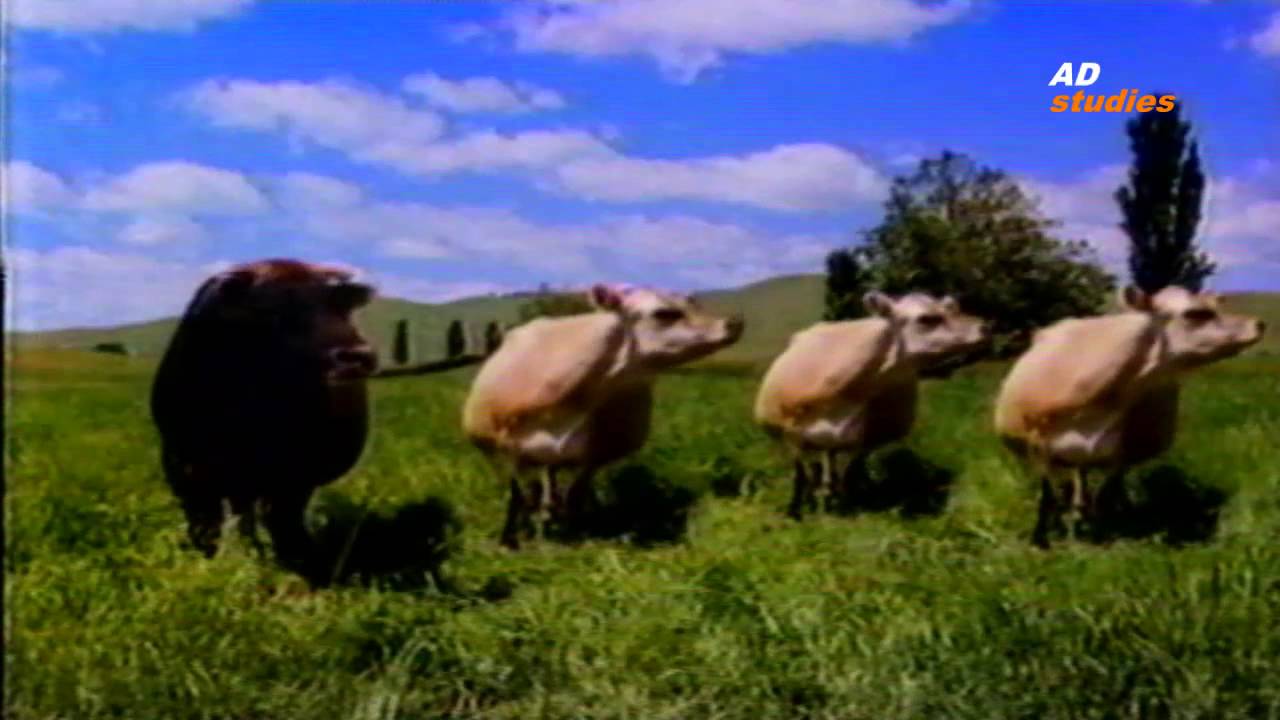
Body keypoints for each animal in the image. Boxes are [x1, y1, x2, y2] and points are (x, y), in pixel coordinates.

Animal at [150, 259, 379, 570]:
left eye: (342, 307)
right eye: (272, 312)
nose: (357, 356)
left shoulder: (295, 474)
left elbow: (283, 520)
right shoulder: (183, 462)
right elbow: (205, 520)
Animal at [462, 283, 745, 549]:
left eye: (694, 301)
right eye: (664, 313)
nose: (734, 323)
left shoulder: (595, 454)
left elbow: (575, 496)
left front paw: (573, 534)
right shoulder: (504, 451)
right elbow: (517, 497)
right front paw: (509, 539)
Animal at [754, 291, 988, 520]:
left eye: (953, 308)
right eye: (926, 318)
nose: (985, 327)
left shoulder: (861, 440)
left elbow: (849, 475)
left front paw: (845, 507)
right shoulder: (791, 437)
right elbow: (800, 476)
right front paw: (795, 511)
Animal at [994, 285, 1266, 548]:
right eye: (1195, 313)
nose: (1258, 324)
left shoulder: (1122, 453)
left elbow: (1106, 496)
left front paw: (1101, 535)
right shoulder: (1037, 446)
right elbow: (1047, 496)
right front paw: (1040, 539)